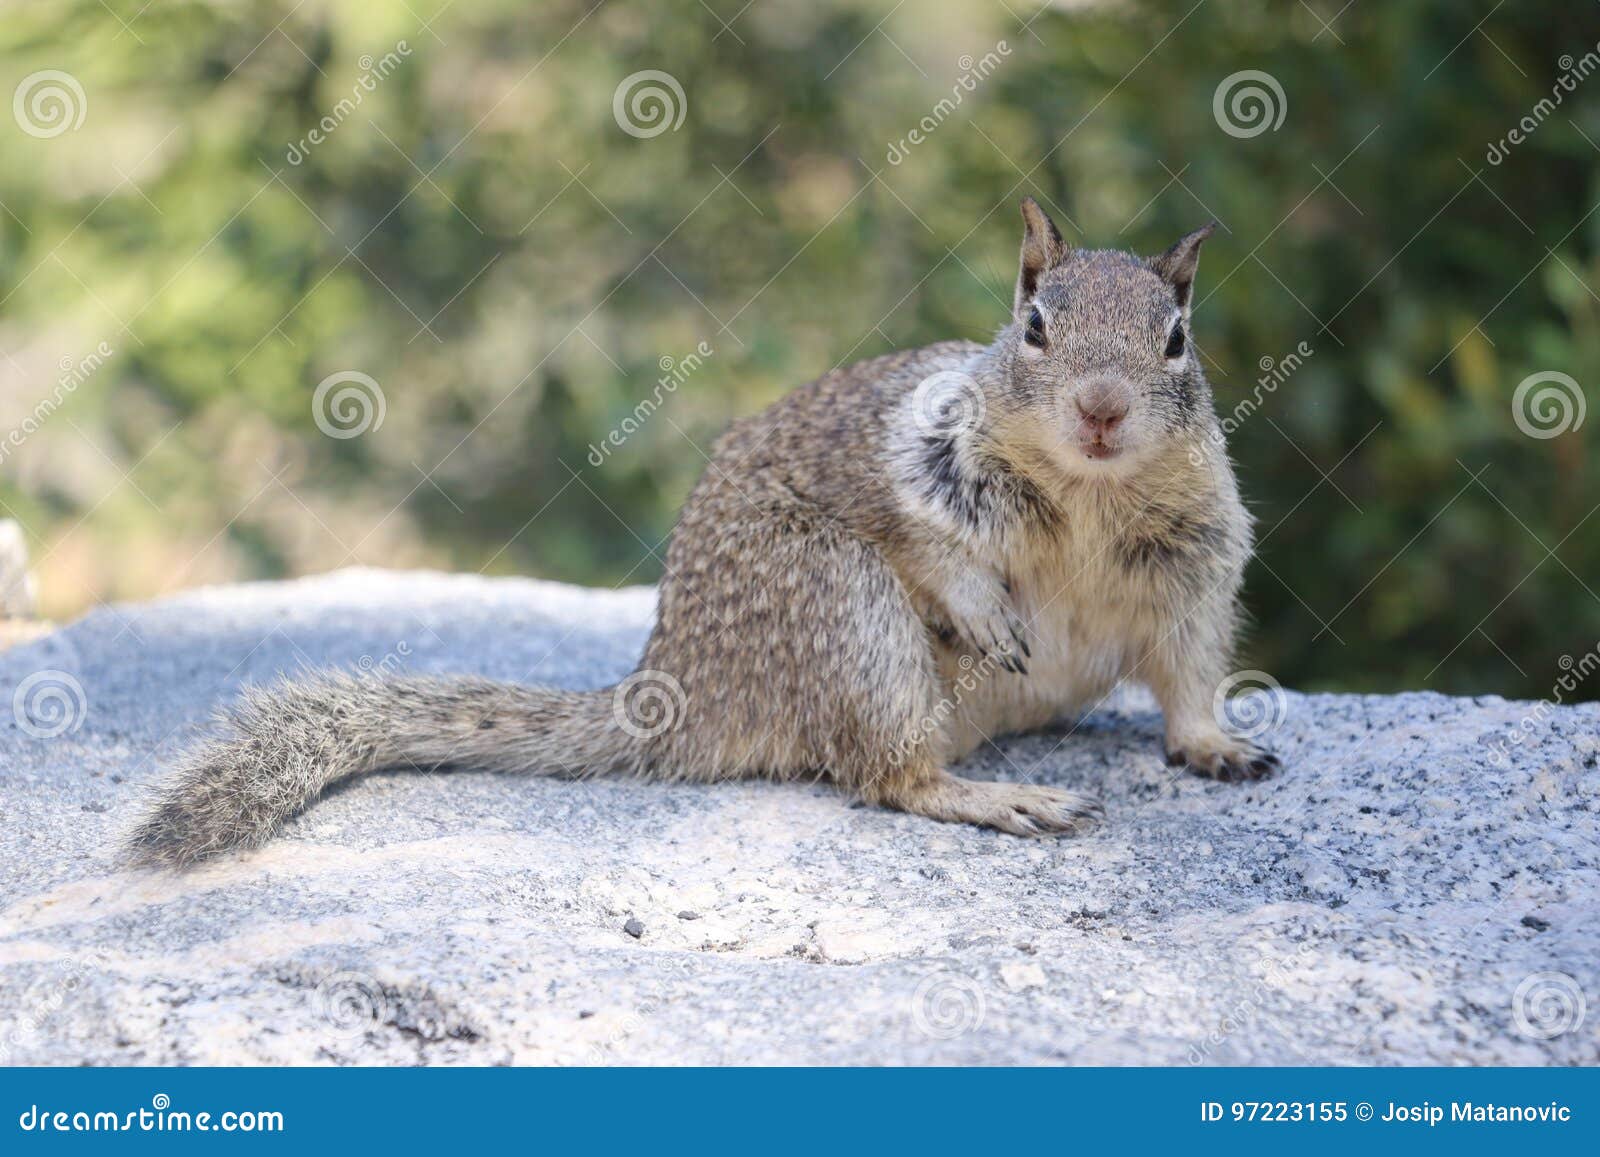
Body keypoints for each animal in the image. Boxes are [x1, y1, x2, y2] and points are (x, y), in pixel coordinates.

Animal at [129, 197, 1278, 866]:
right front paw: (984, 610)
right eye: (1033, 326)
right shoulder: (890, 468)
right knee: (885, 774)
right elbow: (926, 545)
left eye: (1175, 340)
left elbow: (1187, 675)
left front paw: (1214, 744)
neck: (1084, 496)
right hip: (844, 610)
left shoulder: (1198, 566)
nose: (1100, 409)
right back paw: (994, 798)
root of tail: (679, 679)